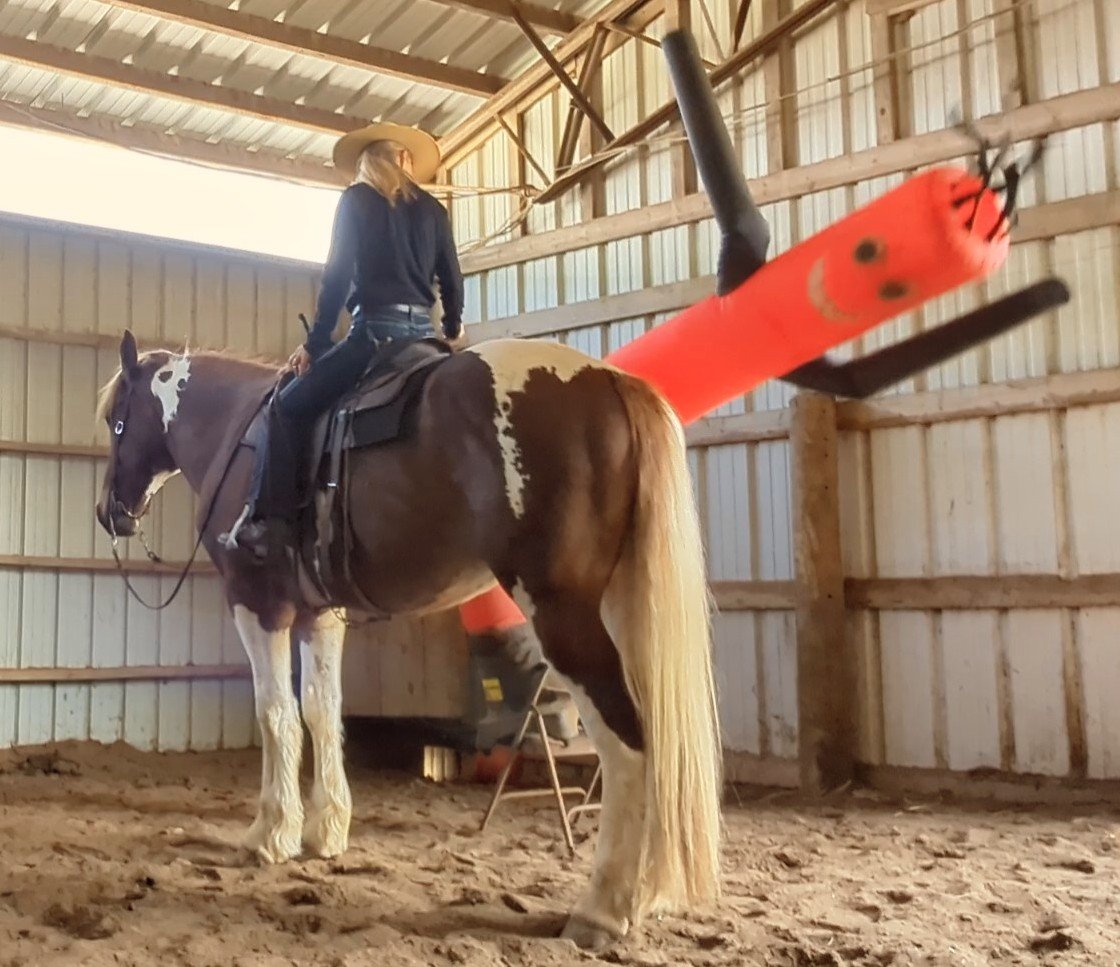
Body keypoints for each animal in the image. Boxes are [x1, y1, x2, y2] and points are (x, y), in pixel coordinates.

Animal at [94, 329, 722, 950]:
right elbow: (322, 710)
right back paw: (643, 897)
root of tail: (609, 381)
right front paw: (325, 832)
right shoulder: (319, 615)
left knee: (628, 744)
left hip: (562, 613)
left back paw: (602, 911)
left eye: (117, 421)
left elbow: (276, 711)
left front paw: (269, 833)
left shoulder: (258, 603)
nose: (110, 513)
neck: (242, 431)